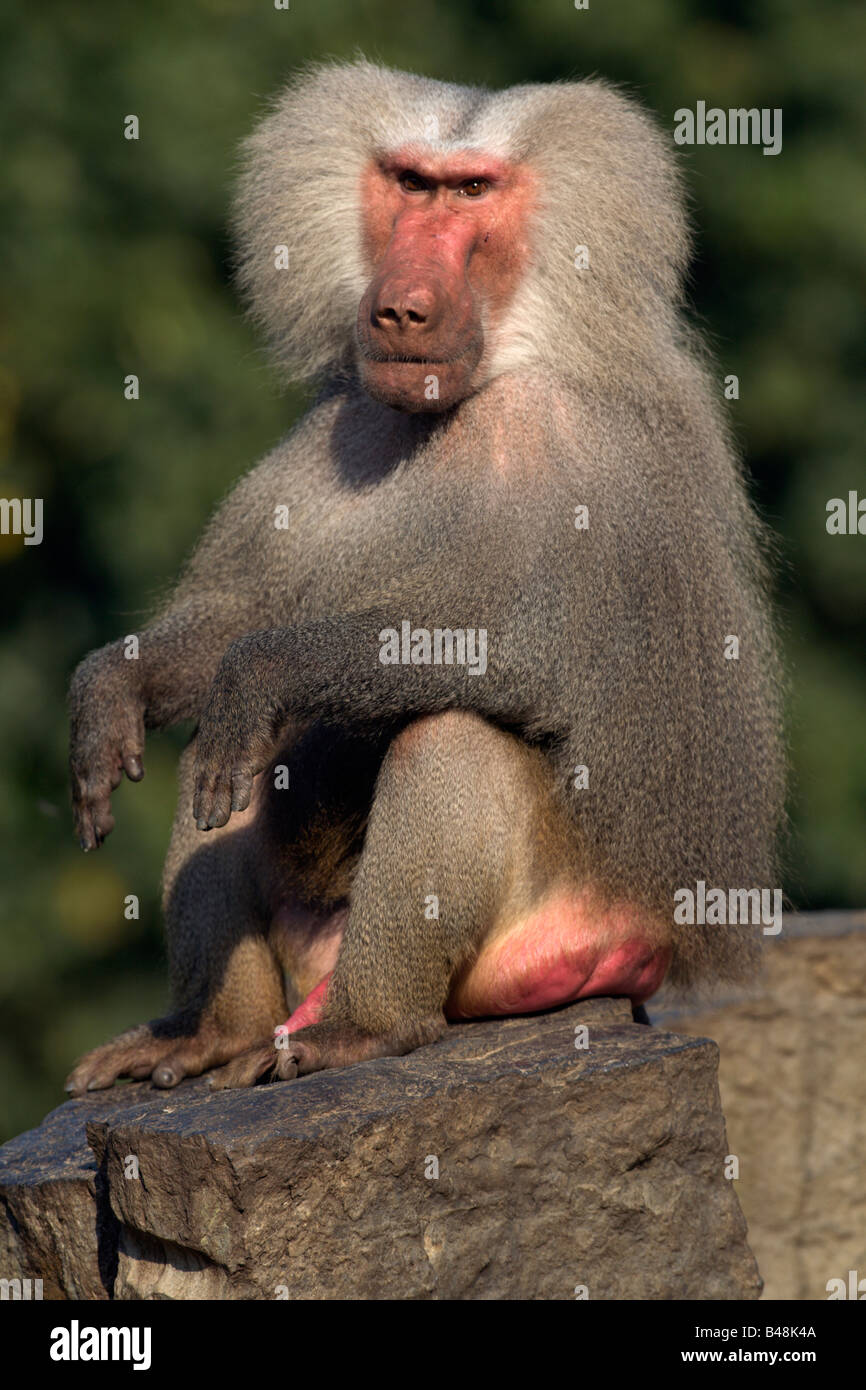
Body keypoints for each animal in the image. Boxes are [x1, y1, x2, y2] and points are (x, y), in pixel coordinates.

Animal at [65, 60, 785, 1095]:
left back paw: (367, 1030)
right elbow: (234, 618)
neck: (491, 380)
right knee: (217, 772)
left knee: (448, 734)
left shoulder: (585, 452)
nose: (402, 308)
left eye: (473, 192)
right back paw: (211, 1036)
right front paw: (109, 689)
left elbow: (527, 659)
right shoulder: (340, 428)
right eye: (410, 184)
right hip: (310, 940)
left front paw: (262, 672)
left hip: (564, 924)